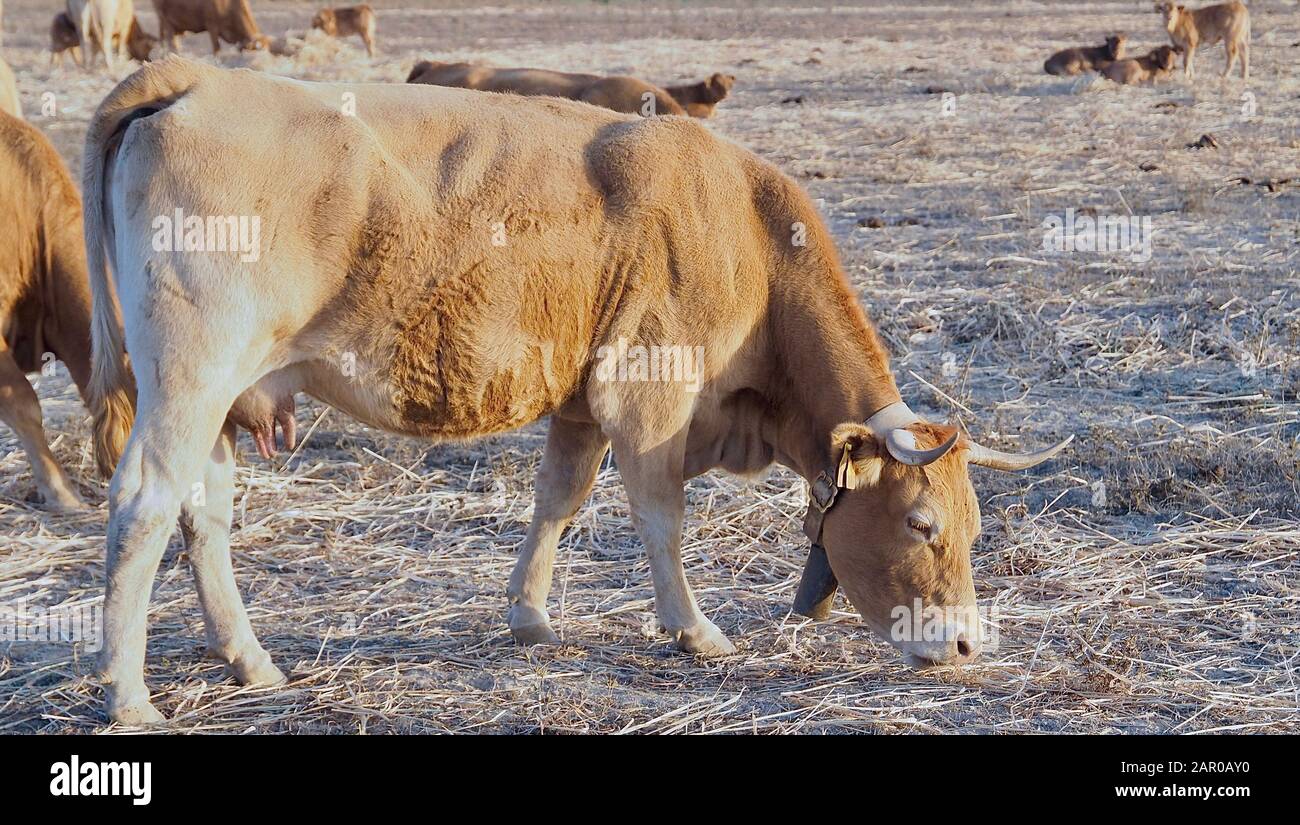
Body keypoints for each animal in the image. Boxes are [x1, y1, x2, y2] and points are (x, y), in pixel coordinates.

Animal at [82, 56, 1071, 724]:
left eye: (972, 529)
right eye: (921, 523)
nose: (966, 644)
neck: (742, 229)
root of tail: (195, 78)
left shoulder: (582, 401)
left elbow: (557, 500)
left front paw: (529, 615)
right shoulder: (648, 395)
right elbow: (662, 517)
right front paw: (694, 628)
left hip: (223, 397)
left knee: (202, 512)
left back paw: (250, 661)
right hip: (189, 374)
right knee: (143, 503)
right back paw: (129, 695)